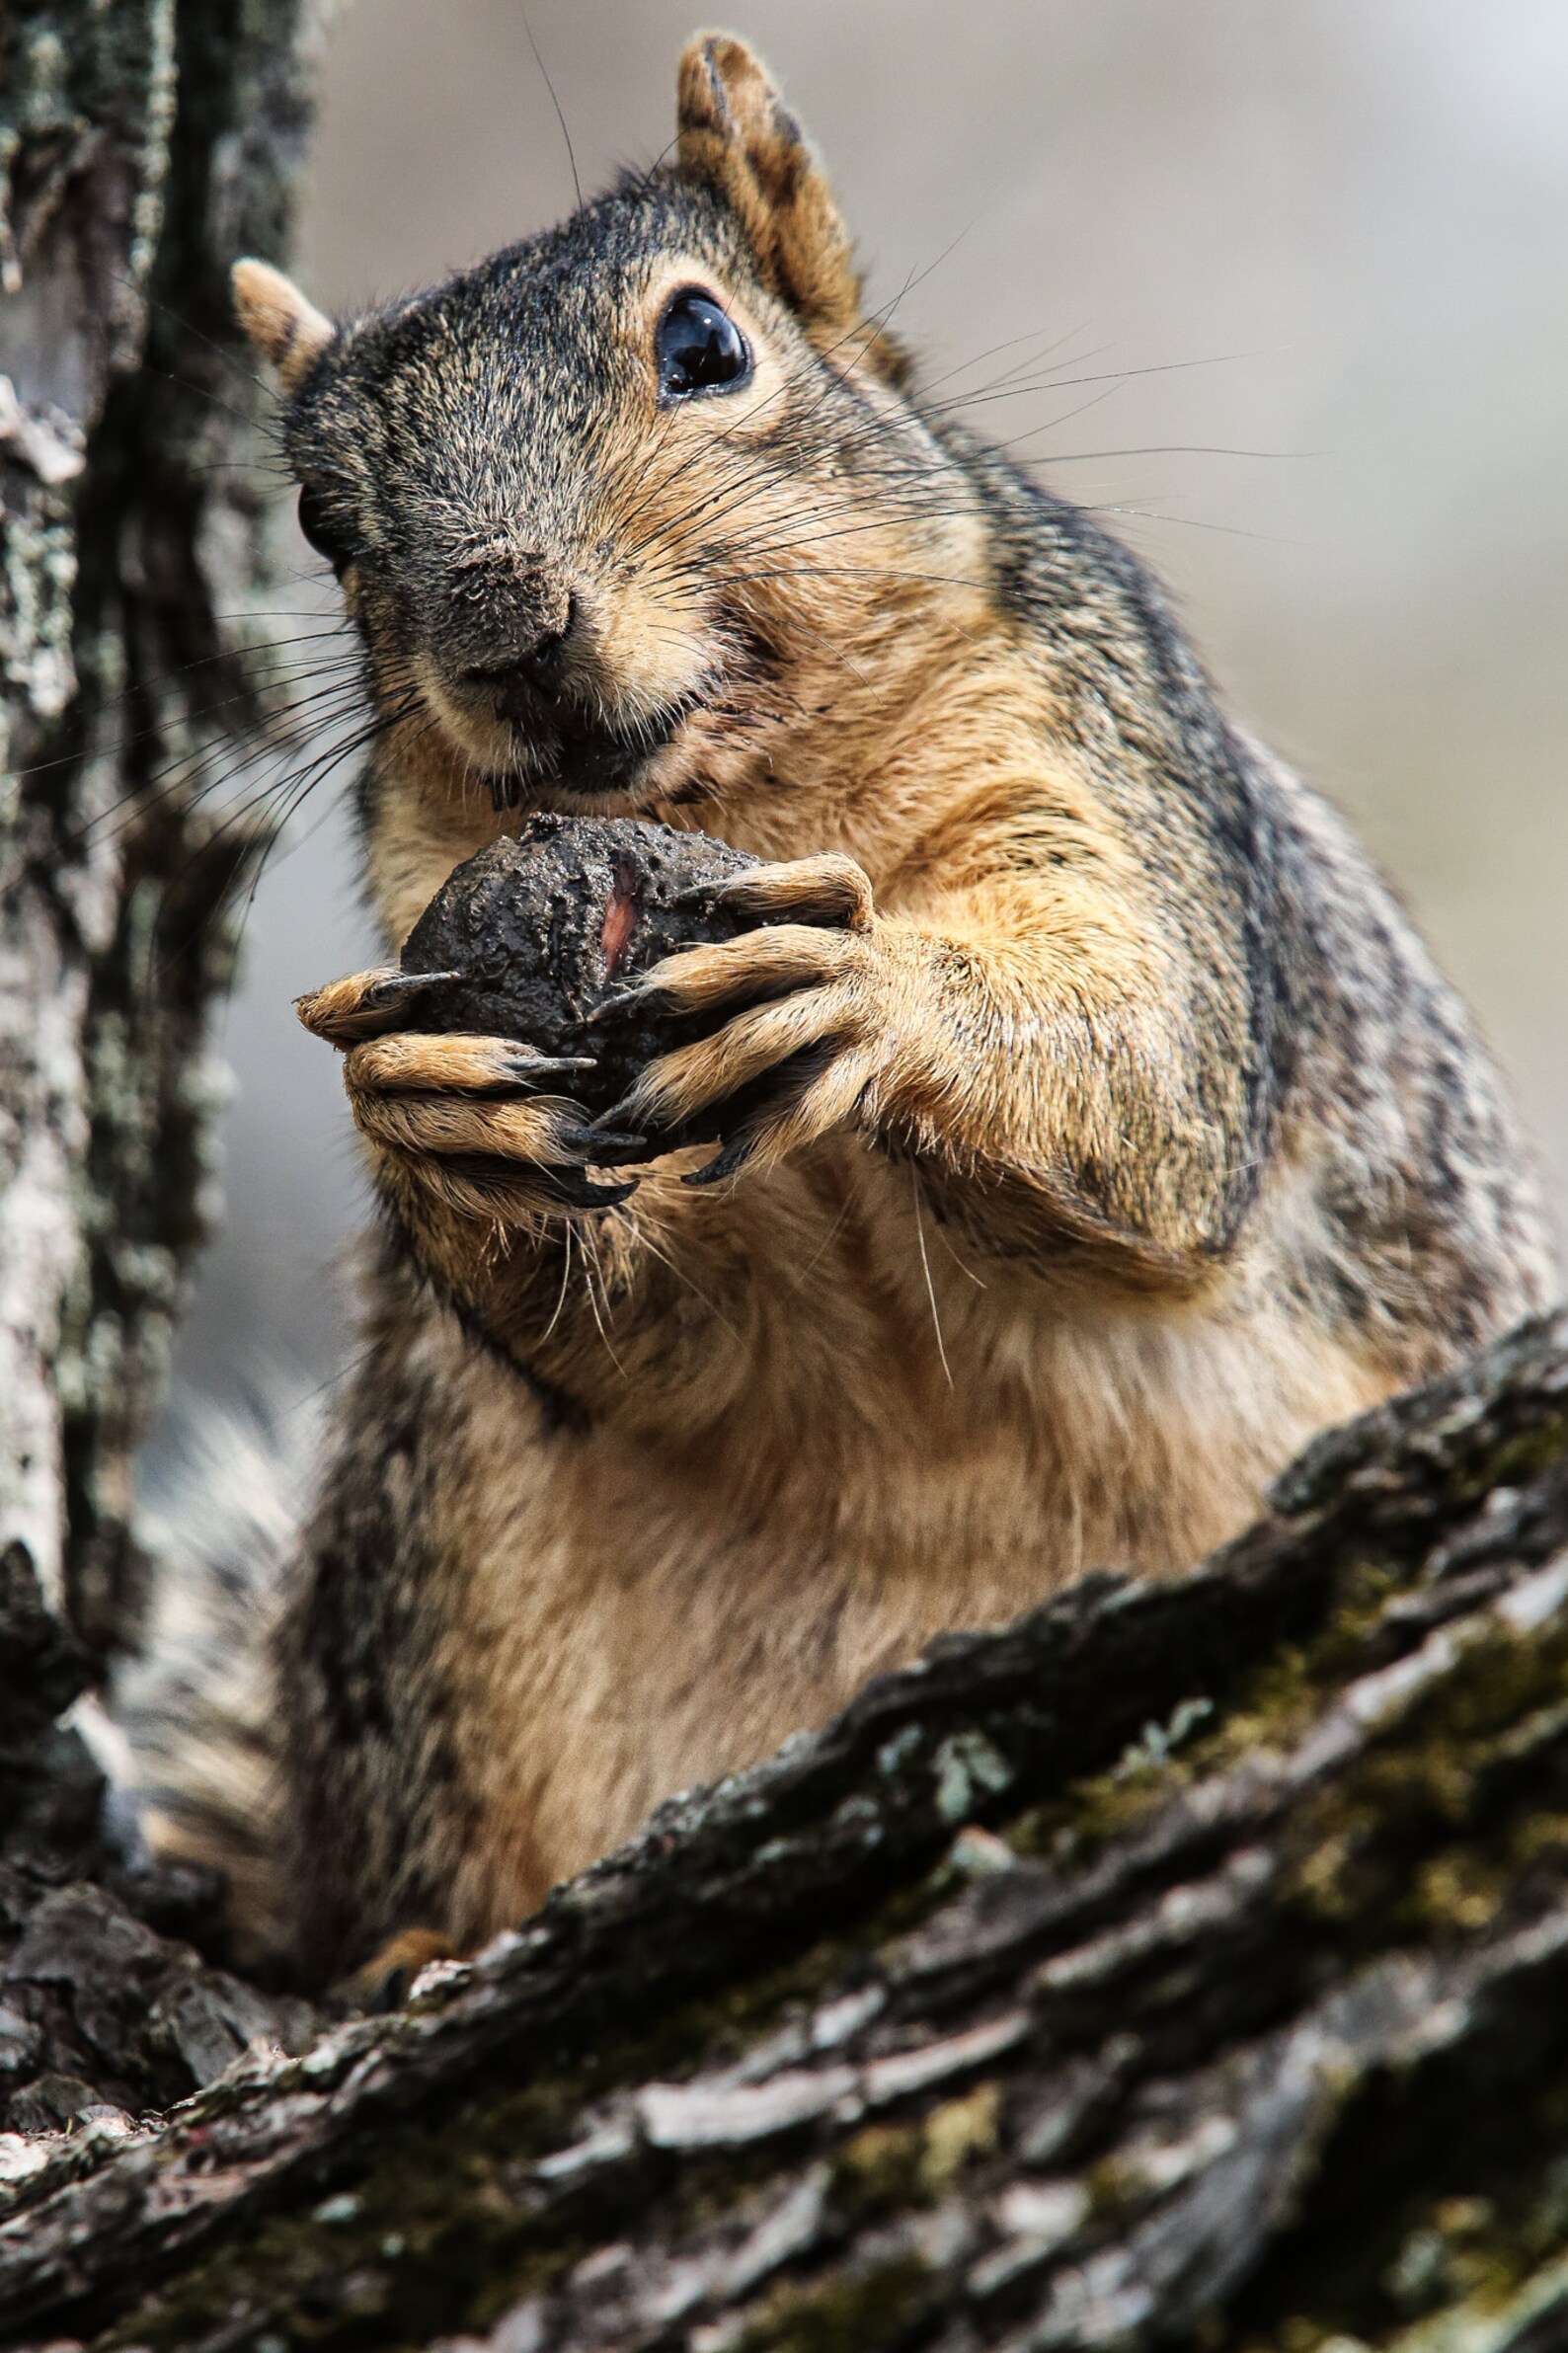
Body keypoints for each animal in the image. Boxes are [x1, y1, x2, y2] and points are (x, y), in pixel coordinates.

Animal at [134, 32, 1557, 1988]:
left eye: (704, 345)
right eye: (318, 520)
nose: (504, 620)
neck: (744, 796)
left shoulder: (1104, 769)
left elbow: (1150, 1078)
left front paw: (871, 989)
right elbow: (657, 1333)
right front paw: (426, 1118)